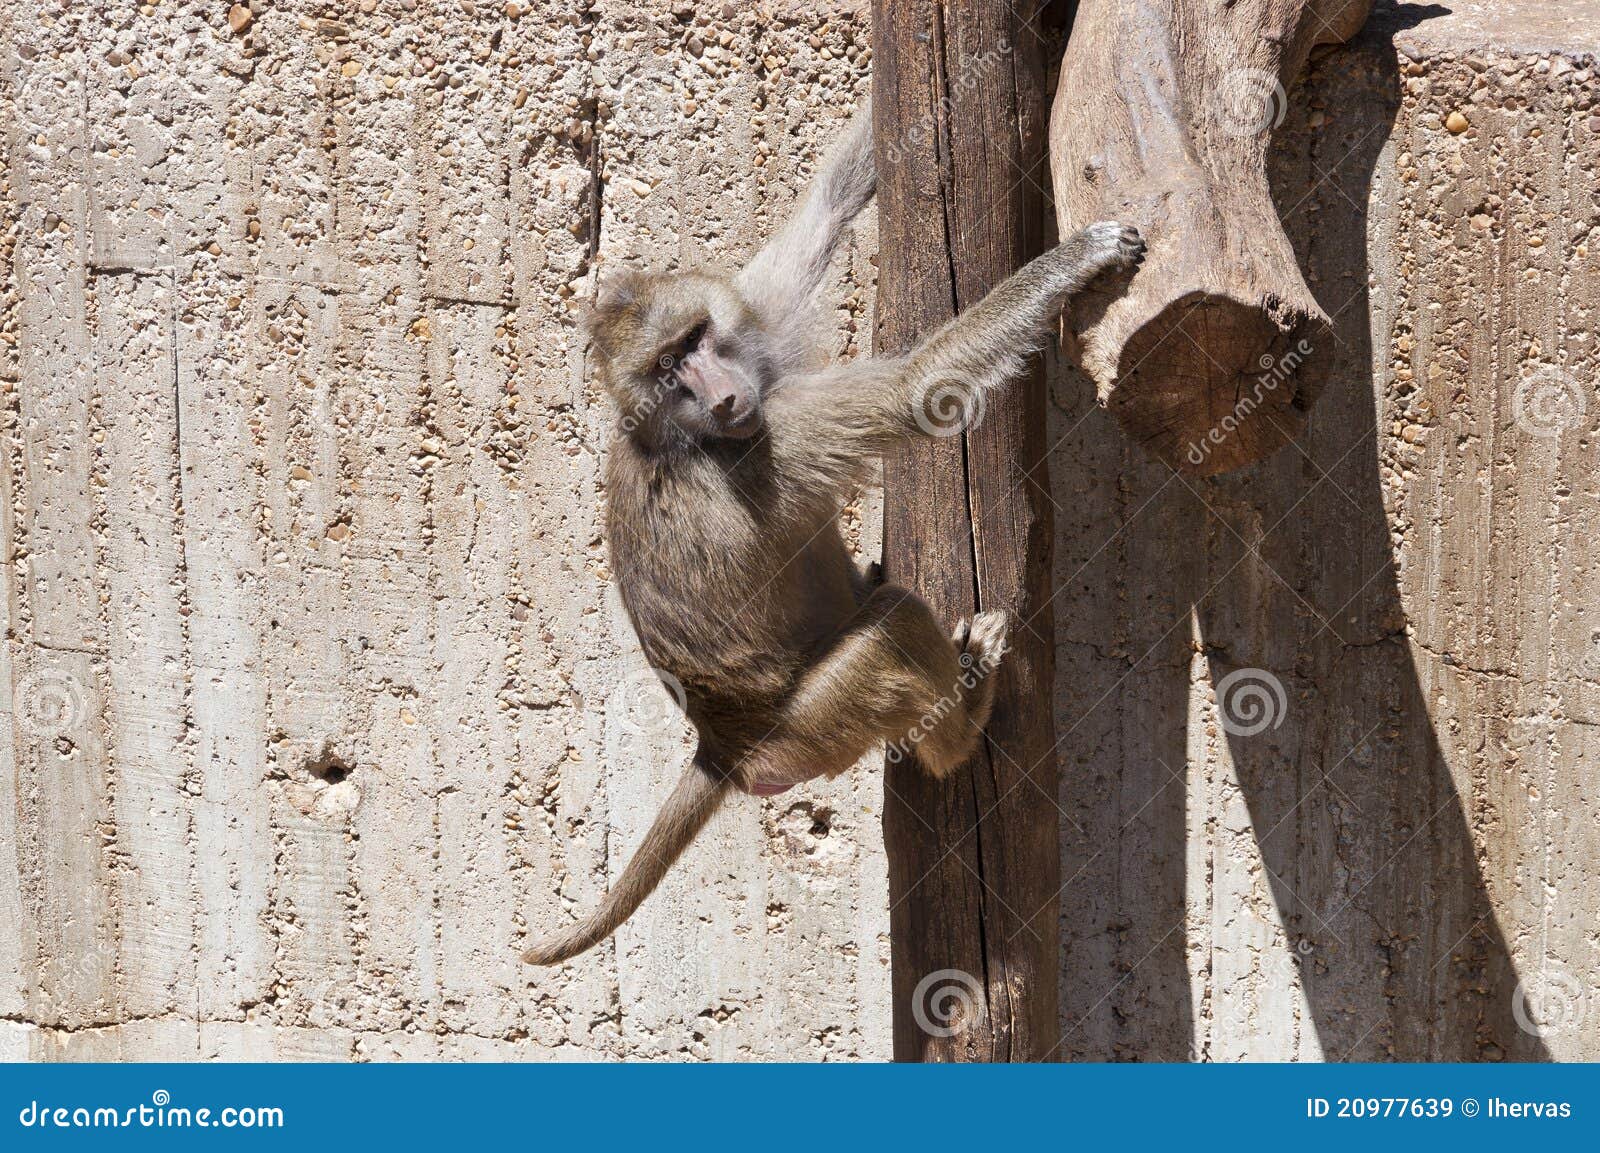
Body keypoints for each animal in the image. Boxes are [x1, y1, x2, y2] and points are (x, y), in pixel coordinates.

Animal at [523, 100, 1144, 966]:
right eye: (667, 372)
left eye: (693, 343)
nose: (723, 398)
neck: (677, 436)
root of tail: (722, 747)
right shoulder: (784, 431)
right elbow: (921, 386)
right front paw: (1078, 259)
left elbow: (827, 206)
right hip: (814, 731)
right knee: (892, 631)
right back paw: (965, 716)